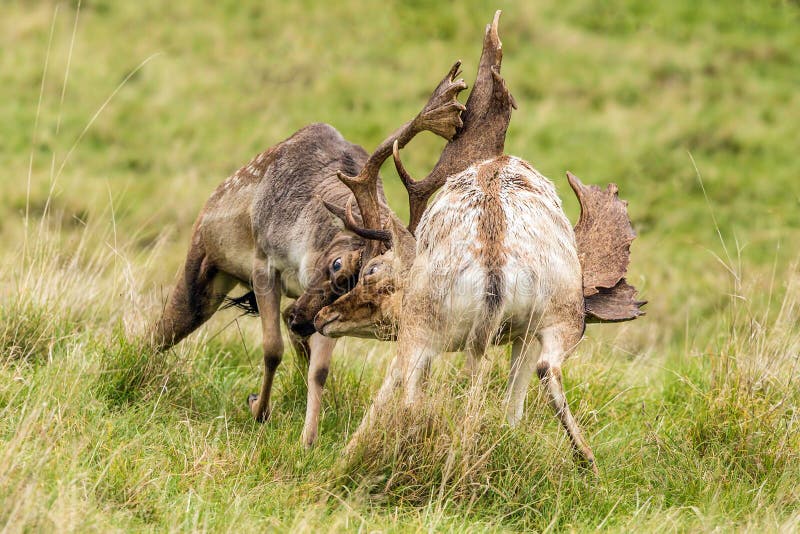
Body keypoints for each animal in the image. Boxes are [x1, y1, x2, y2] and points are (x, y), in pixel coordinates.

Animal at [149, 63, 468, 448]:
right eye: (338, 264)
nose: (302, 319)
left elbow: (320, 370)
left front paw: (308, 438)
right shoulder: (263, 262)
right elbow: (272, 349)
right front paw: (258, 409)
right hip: (202, 268)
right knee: (164, 329)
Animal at [312, 11, 644, 473]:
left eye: (373, 270)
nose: (321, 316)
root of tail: (495, 255)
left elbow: (390, 389)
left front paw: (346, 453)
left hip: (428, 322)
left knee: (414, 396)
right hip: (559, 314)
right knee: (542, 371)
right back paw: (586, 461)